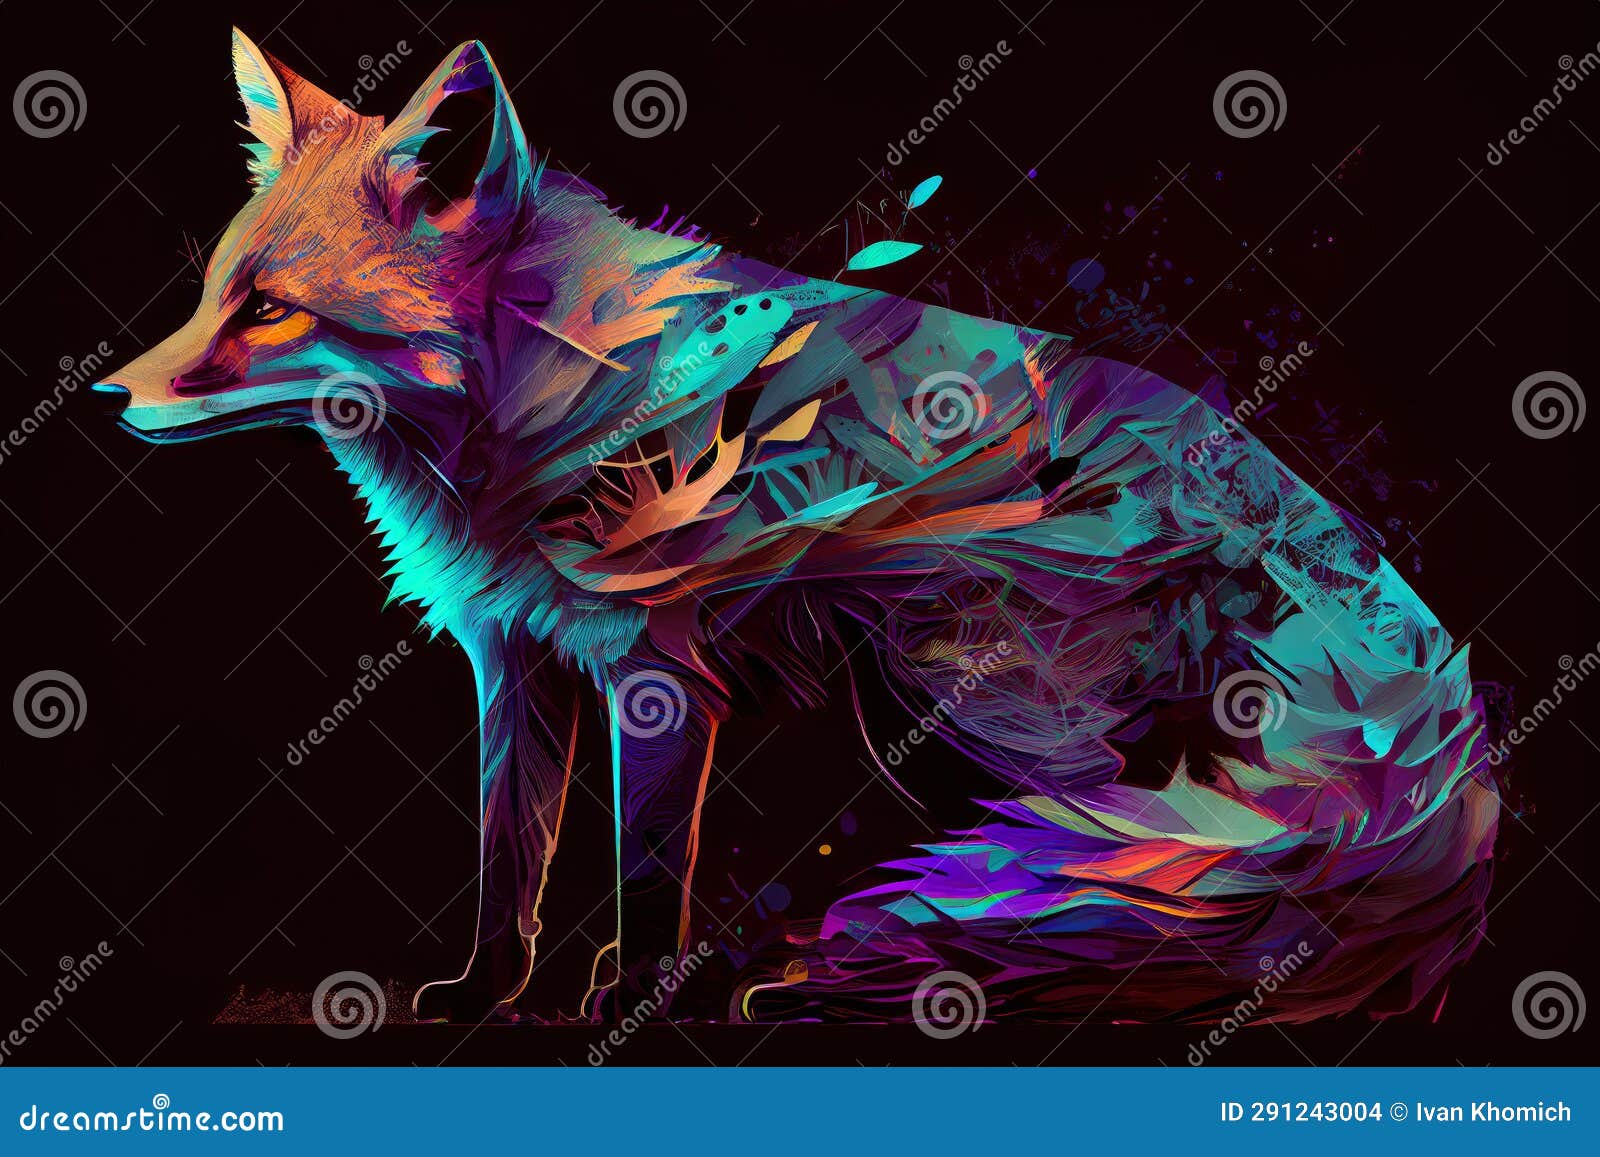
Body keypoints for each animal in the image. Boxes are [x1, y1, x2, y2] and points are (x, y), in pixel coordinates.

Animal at [93, 30, 1500, 1026]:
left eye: (272, 308)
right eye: (214, 292)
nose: (110, 397)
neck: (538, 403)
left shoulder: (656, 665)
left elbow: (646, 863)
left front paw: (635, 997)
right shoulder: (514, 655)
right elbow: (508, 849)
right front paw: (487, 992)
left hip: (938, 685)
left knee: (1123, 867)